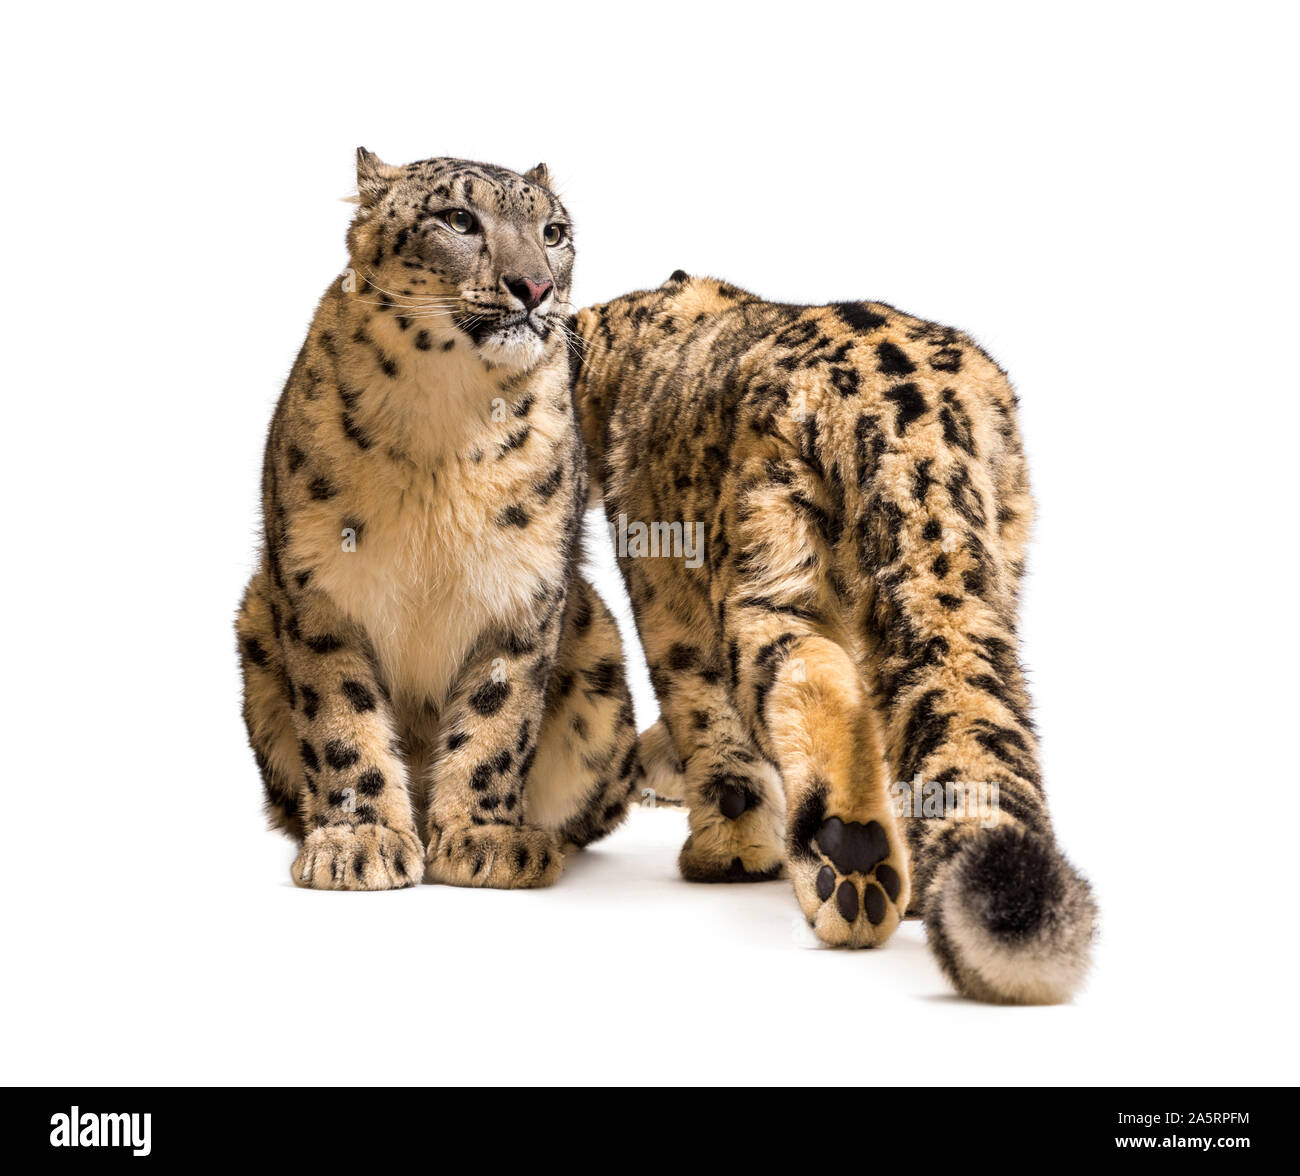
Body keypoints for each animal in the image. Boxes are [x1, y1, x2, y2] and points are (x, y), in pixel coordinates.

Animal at [236, 150, 640, 891]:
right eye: (458, 218)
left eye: (555, 231)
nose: (535, 286)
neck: (446, 421)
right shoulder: (319, 590)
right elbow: (340, 716)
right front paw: (359, 842)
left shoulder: (525, 590)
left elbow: (497, 720)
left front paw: (485, 839)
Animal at [572, 272, 1097, 1003]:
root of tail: (910, 422)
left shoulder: (663, 595)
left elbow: (704, 718)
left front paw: (725, 849)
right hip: (993, 551)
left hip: (764, 550)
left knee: (807, 673)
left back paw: (847, 857)